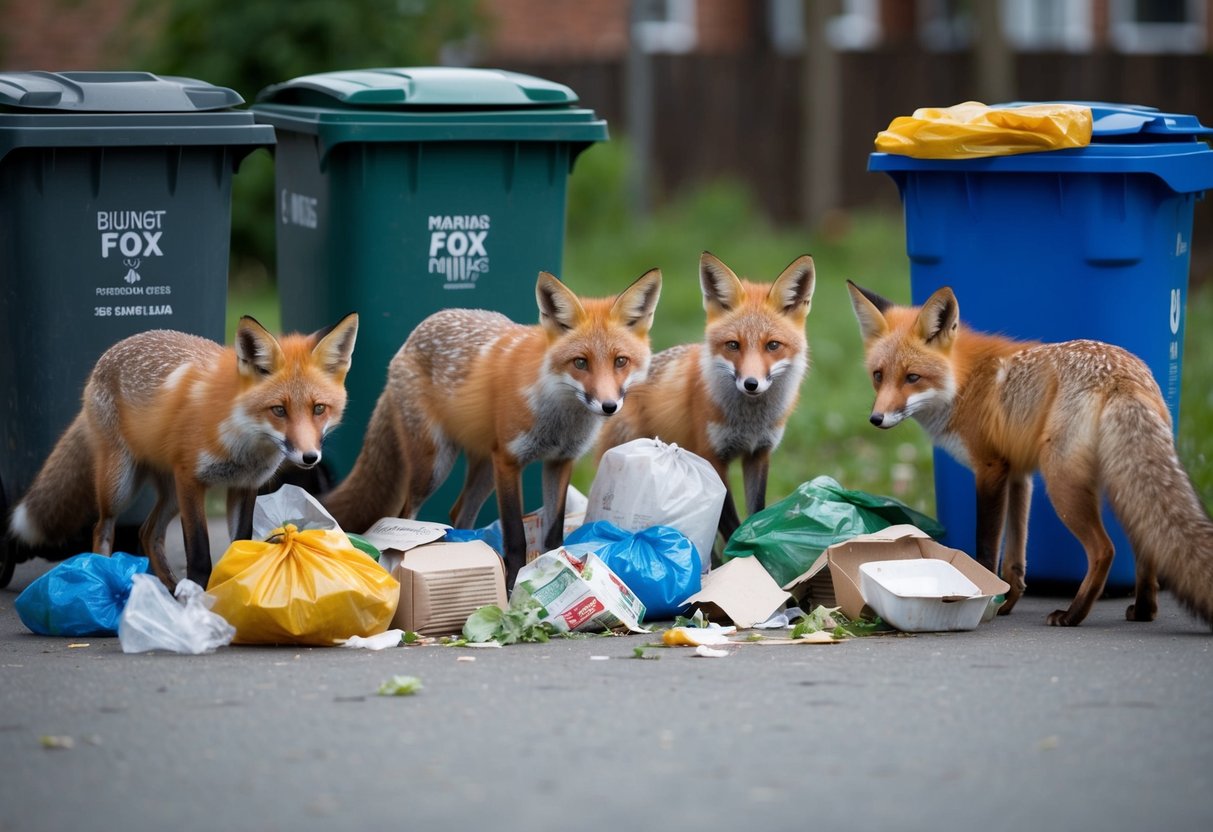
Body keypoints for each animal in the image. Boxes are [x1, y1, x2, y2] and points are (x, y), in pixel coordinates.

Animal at [8, 314, 359, 589]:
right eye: (279, 410)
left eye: (318, 409)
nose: (309, 458)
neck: (243, 440)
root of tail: (112, 350)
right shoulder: (191, 480)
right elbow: (200, 552)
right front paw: (199, 596)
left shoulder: (244, 485)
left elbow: (240, 540)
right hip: (121, 484)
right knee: (103, 527)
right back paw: (103, 578)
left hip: (169, 493)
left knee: (148, 533)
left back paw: (167, 588)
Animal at [322, 269, 663, 587]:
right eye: (580, 363)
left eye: (620, 361)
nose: (609, 406)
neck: (558, 416)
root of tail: (410, 339)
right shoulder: (509, 461)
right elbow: (515, 537)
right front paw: (513, 585)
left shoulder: (560, 461)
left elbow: (553, 535)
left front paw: (557, 568)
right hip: (435, 466)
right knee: (407, 513)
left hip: (485, 468)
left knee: (458, 513)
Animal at [596, 252, 816, 545]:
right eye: (733, 345)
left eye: (772, 346)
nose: (751, 384)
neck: (749, 422)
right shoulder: (712, 456)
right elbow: (731, 525)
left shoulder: (758, 454)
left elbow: (756, 512)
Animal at [847, 280, 1213, 629]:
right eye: (878, 376)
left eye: (913, 377)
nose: (876, 419)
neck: (964, 384)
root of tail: (1122, 375)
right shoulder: (1019, 475)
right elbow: (1015, 558)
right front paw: (1005, 602)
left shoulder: (990, 469)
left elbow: (986, 547)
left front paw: (984, 601)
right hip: (1118, 480)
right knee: (1147, 541)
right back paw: (1144, 609)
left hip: (1063, 481)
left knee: (1104, 550)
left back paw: (1073, 614)